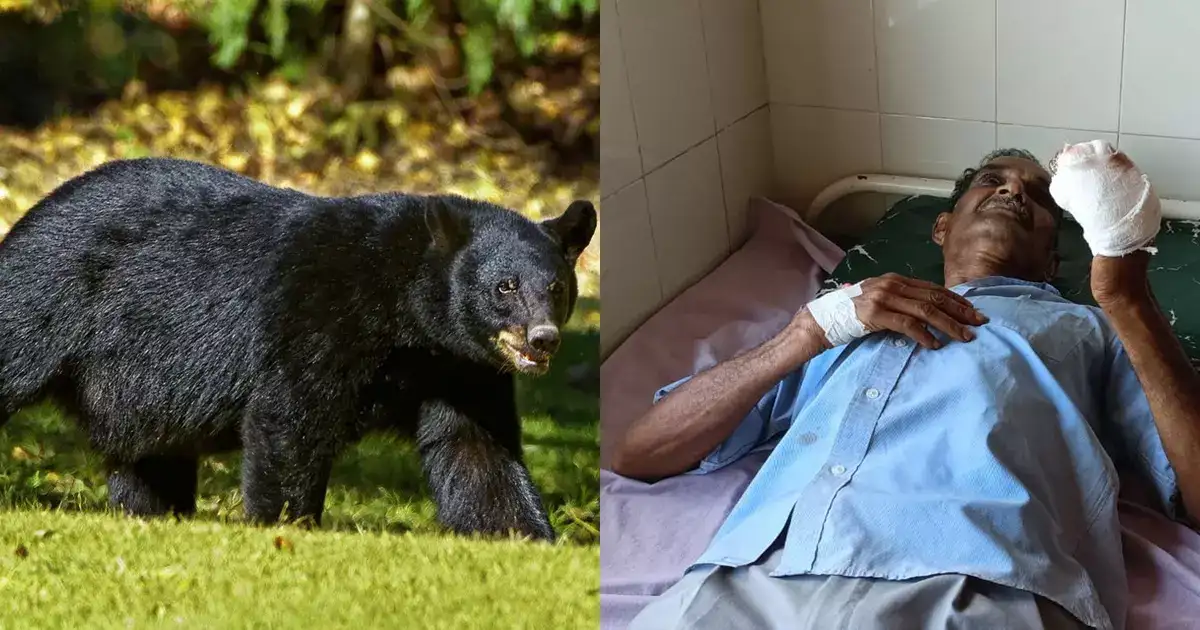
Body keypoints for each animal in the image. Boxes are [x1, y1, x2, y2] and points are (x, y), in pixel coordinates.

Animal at [0, 156, 597, 541]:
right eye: (505, 287)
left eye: (556, 287)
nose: (542, 338)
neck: (407, 311)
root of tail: (36, 208)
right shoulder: (319, 308)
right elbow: (291, 414)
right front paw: (288, 526)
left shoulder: (458, 366)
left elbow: (476, 449)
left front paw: (523, 535)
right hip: (47, 288)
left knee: (150, 456)